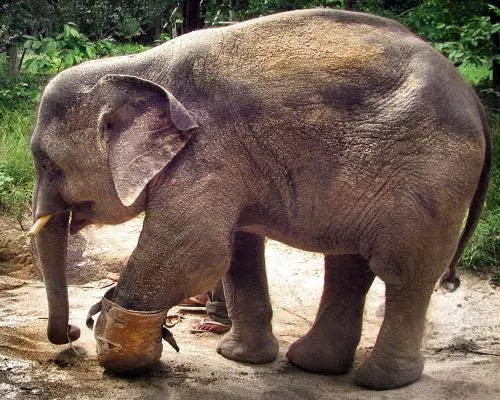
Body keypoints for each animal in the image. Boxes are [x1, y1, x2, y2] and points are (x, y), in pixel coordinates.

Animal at [27, 8, 488, 390]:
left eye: (48, 164)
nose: (71, 334)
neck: (135, 68)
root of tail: (473, 96)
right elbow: (237, 250)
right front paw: (237, 359)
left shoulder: (205, 150)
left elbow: (192, 251)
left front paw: (119, 354)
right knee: (348, 264)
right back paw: (314, 364)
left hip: (432, 173)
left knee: (402, 271)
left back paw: (381, 381)